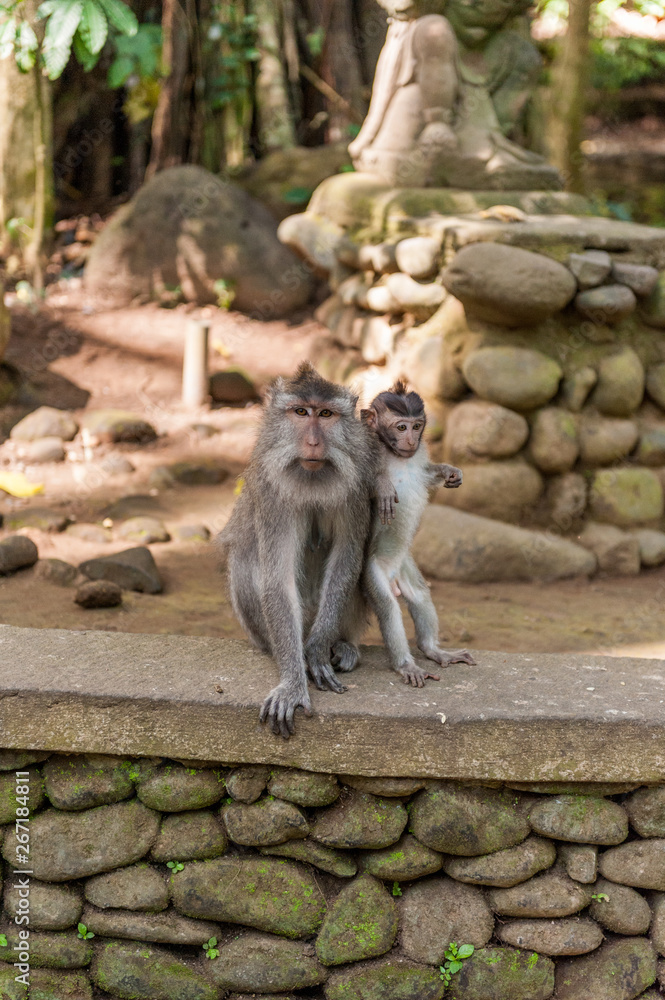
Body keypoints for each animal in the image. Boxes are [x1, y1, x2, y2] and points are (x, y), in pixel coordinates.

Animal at [219, 362, 376, 739]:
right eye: (301, 412)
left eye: (326, 414)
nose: (314, 442)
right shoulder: (271, 490)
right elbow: (276, 581)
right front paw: (292, 682)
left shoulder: (359, 485)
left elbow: (347, 559)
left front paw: (318, 649)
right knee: (245, 560)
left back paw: (341, 644)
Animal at [362, 381, 476, 686]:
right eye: (401, 427)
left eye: (417, 426)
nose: (411, 441)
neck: (394, 455)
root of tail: (392, 576)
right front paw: (382, 484)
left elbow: (425, 472)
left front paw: (450, 472)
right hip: (372, 571)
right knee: (388, 606)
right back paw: (405, 665)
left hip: (405, 564)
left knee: (419, 593)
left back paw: (433, 650)